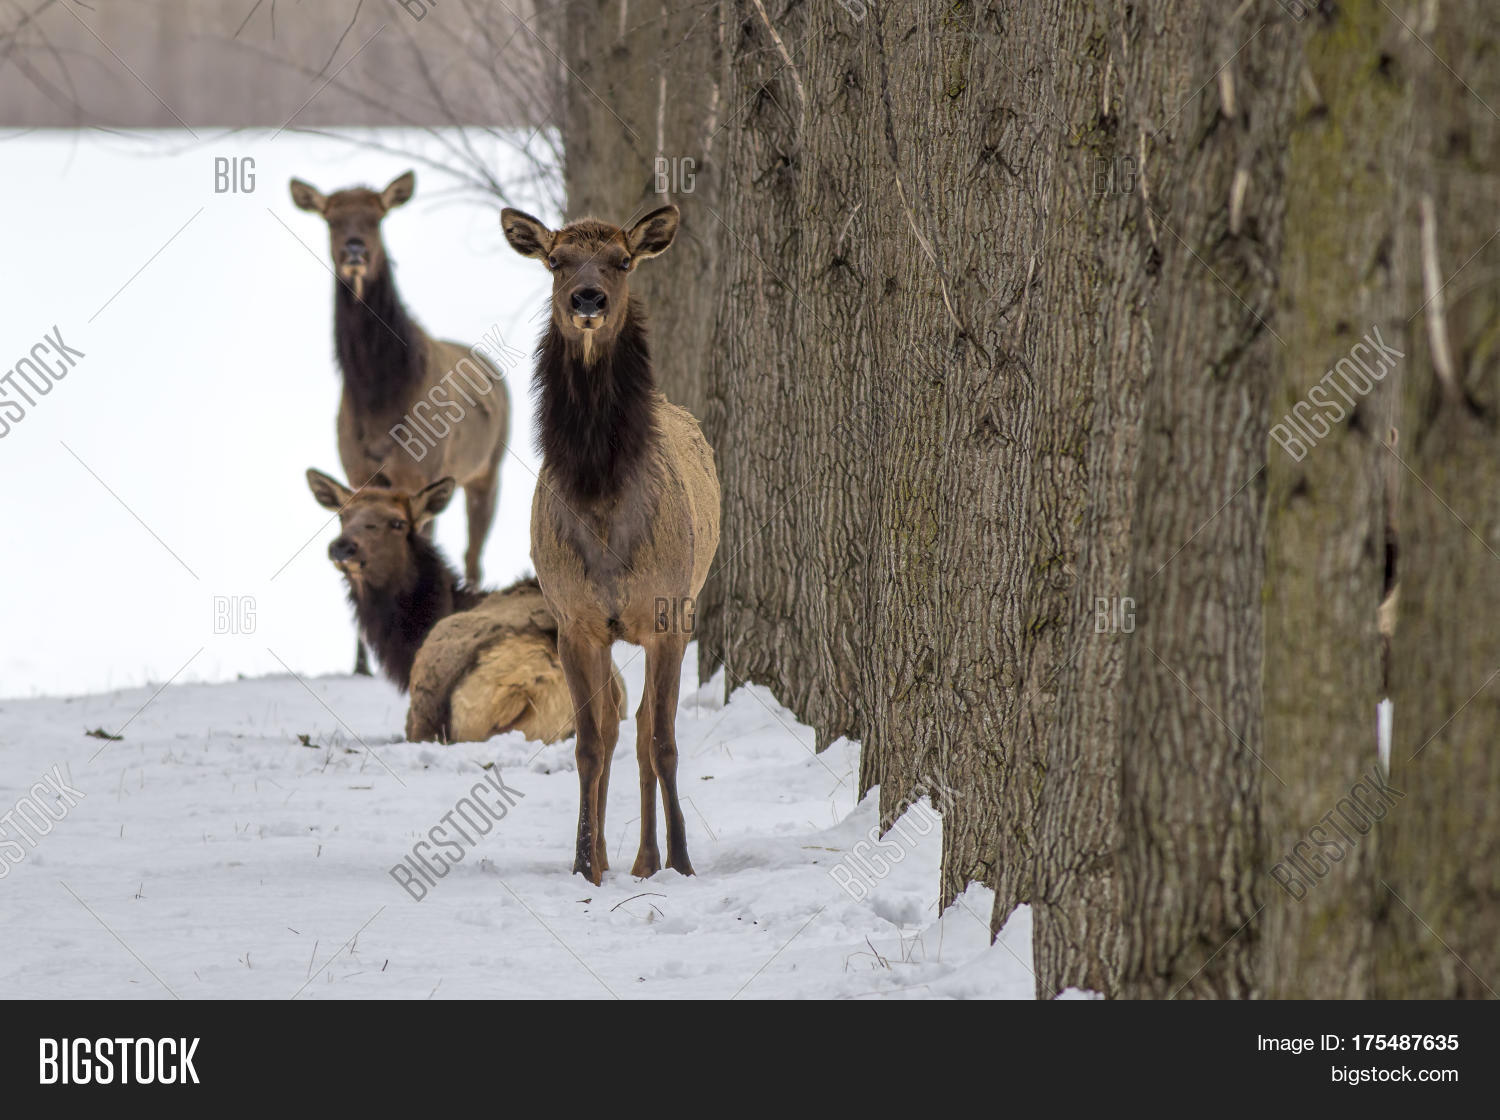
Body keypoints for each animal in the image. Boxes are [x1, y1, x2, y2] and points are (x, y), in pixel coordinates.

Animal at [290, 170, 511, 673]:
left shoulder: (417, 468)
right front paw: (359, 664)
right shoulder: (356, 470)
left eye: (377, 217)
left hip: (488, 469)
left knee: (472, 551)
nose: (354, 250)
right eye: (331, 218)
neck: (378, 398)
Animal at [500, 204, 720, 885]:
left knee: (647, 729)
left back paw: (649, 860)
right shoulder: (575, 621)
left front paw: (681, 861)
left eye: (622, 260)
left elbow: (665, 741)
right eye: (555, 260)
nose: (588, 299)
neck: (601, 503)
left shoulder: (669, 615)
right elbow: (590, 744)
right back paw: (612, 854)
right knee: (619, 730)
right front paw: (584, 866)